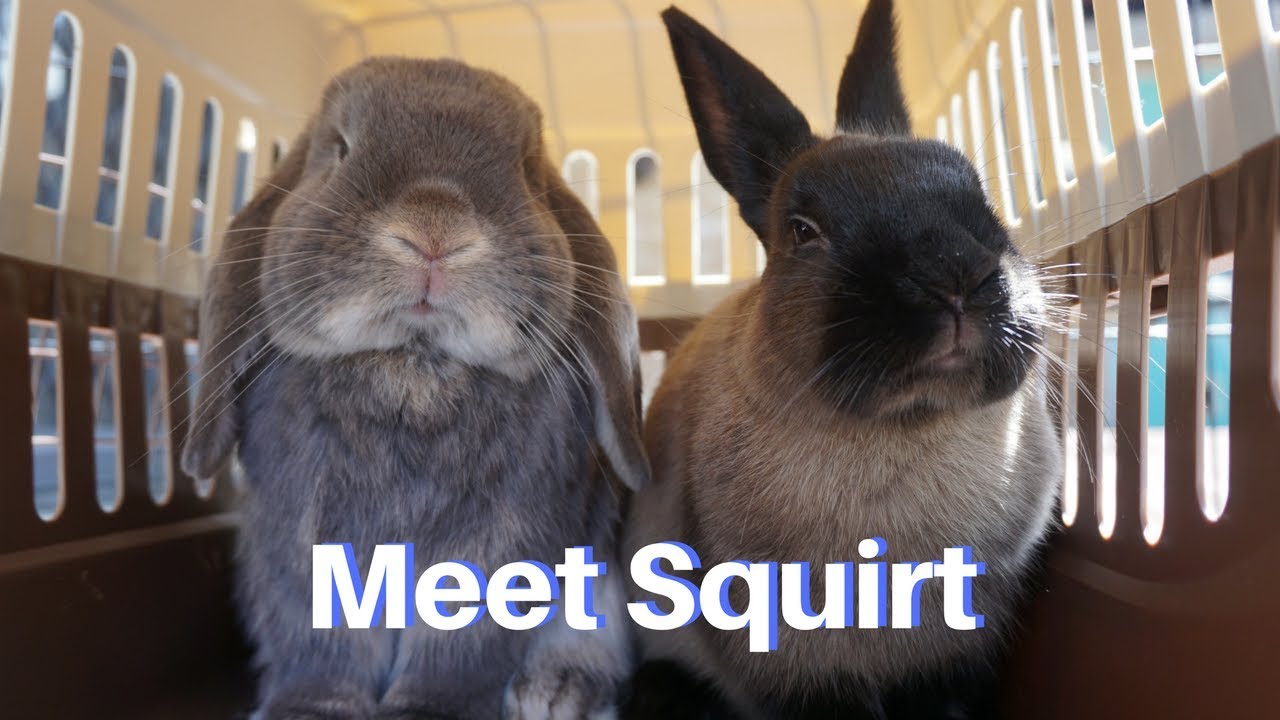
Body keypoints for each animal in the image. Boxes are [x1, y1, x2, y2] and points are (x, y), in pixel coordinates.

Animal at [180, 57, 650, 720]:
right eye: (339, 148)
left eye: (528, 169)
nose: (434, 227)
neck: (415, 363)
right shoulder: (301, 550)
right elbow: (322, 649)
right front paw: (311, 709)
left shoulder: (496, 553)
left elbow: (456, 651)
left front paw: (427, 711)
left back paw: (556, 690)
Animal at [621, 2, 1061, 718]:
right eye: (803, 232)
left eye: (979, 195)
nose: (955, 277)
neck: (906, 429)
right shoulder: (795, 674)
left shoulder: (952, 662)